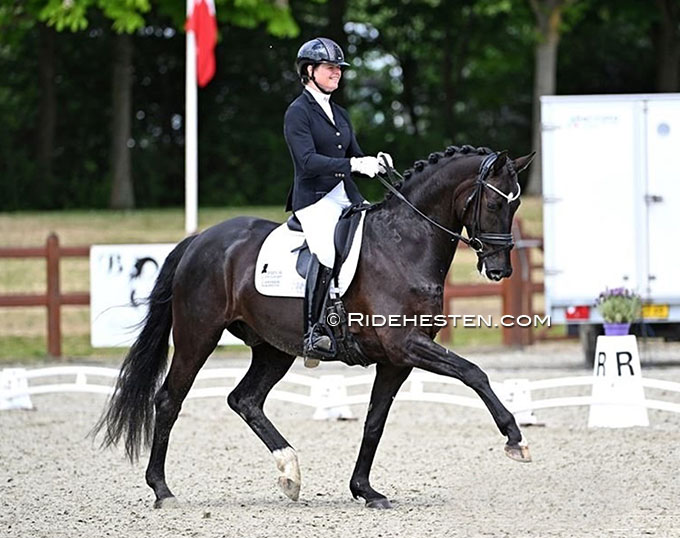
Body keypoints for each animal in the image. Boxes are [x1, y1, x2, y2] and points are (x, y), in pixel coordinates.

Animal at [94, 145, 535, 510]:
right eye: (493, 202)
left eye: (515, 207)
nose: (499, 270)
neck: (405, 244)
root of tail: (200, 239)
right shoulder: (405, 344)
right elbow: (473, 373)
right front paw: (515, 438)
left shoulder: (396, 359)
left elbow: (374, 421)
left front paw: (365, 490)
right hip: (197, 335)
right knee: (170, 399)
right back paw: (162, 490)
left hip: (273, 349)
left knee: (245, 400)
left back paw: (290, 473)